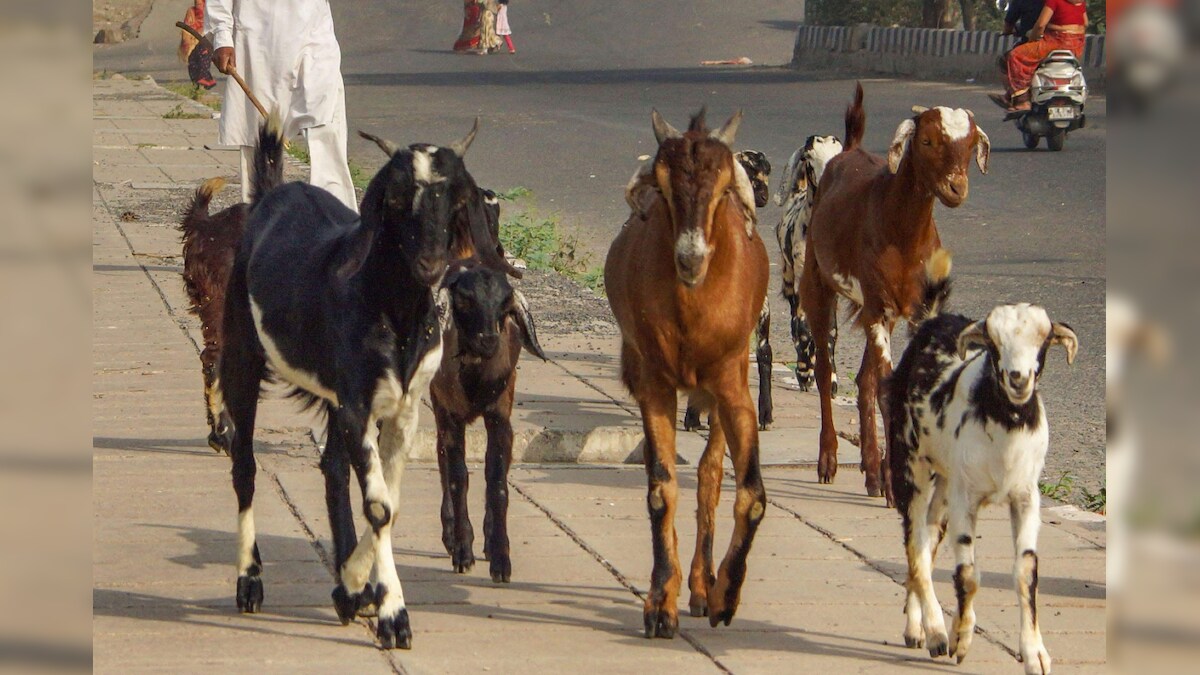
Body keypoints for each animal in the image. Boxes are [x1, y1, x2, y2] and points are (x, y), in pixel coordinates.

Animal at [218, 114, 506, 649]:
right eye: (396, 197)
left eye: (453, 197)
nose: (430, 264)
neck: (393, 313)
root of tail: (272, 196)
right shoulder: (355, 403)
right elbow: (379, 507)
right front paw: (392, 612)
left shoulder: (403, 409)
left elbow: (388, 501)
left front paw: (354, 586)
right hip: (242, 358)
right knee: (244, 467)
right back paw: (249, 582)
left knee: (332, 468)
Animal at [431, 259, 545, 582]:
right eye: (464, 300)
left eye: (505, 304)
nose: (489, 340)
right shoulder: (450, 416)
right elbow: (457, 478)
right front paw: (462, 551)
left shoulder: (500, 418)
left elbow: (496, 480)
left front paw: (500, 557)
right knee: (442, 461)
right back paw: (451, 534)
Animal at [773, 134, 843, 393]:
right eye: (809, 157)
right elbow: (803, 328)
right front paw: (804, 372)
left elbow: (829, 330)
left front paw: (830, 379)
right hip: (789, 277)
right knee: (796, 320)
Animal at [800, 83, 989, 500]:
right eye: (928, 140)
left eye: (970, 145)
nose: (956, 188)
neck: (901, 232)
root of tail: (851, 149)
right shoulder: (876, 304)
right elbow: (887, 389)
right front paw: (892, 481)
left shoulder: (915, 310)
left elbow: (899, 385)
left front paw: (895, 475)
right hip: (818, 280)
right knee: (824, 369)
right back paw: (829, 460)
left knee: (864, 382)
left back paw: (870, 471)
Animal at [887, 303, 1078, 673]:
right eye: (993, 342)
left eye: (1044, 337)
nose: (1018, 378)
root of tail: (934, 320)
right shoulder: (966, 499)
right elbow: (968, 574)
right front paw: (960, 638)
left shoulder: (1026, 497)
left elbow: (1026, 572)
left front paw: (1035, 654)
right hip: (912, 466)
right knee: (915, 546)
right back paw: (935, 632)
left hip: (945, 483)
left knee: (928, 539)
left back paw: (916, 628)